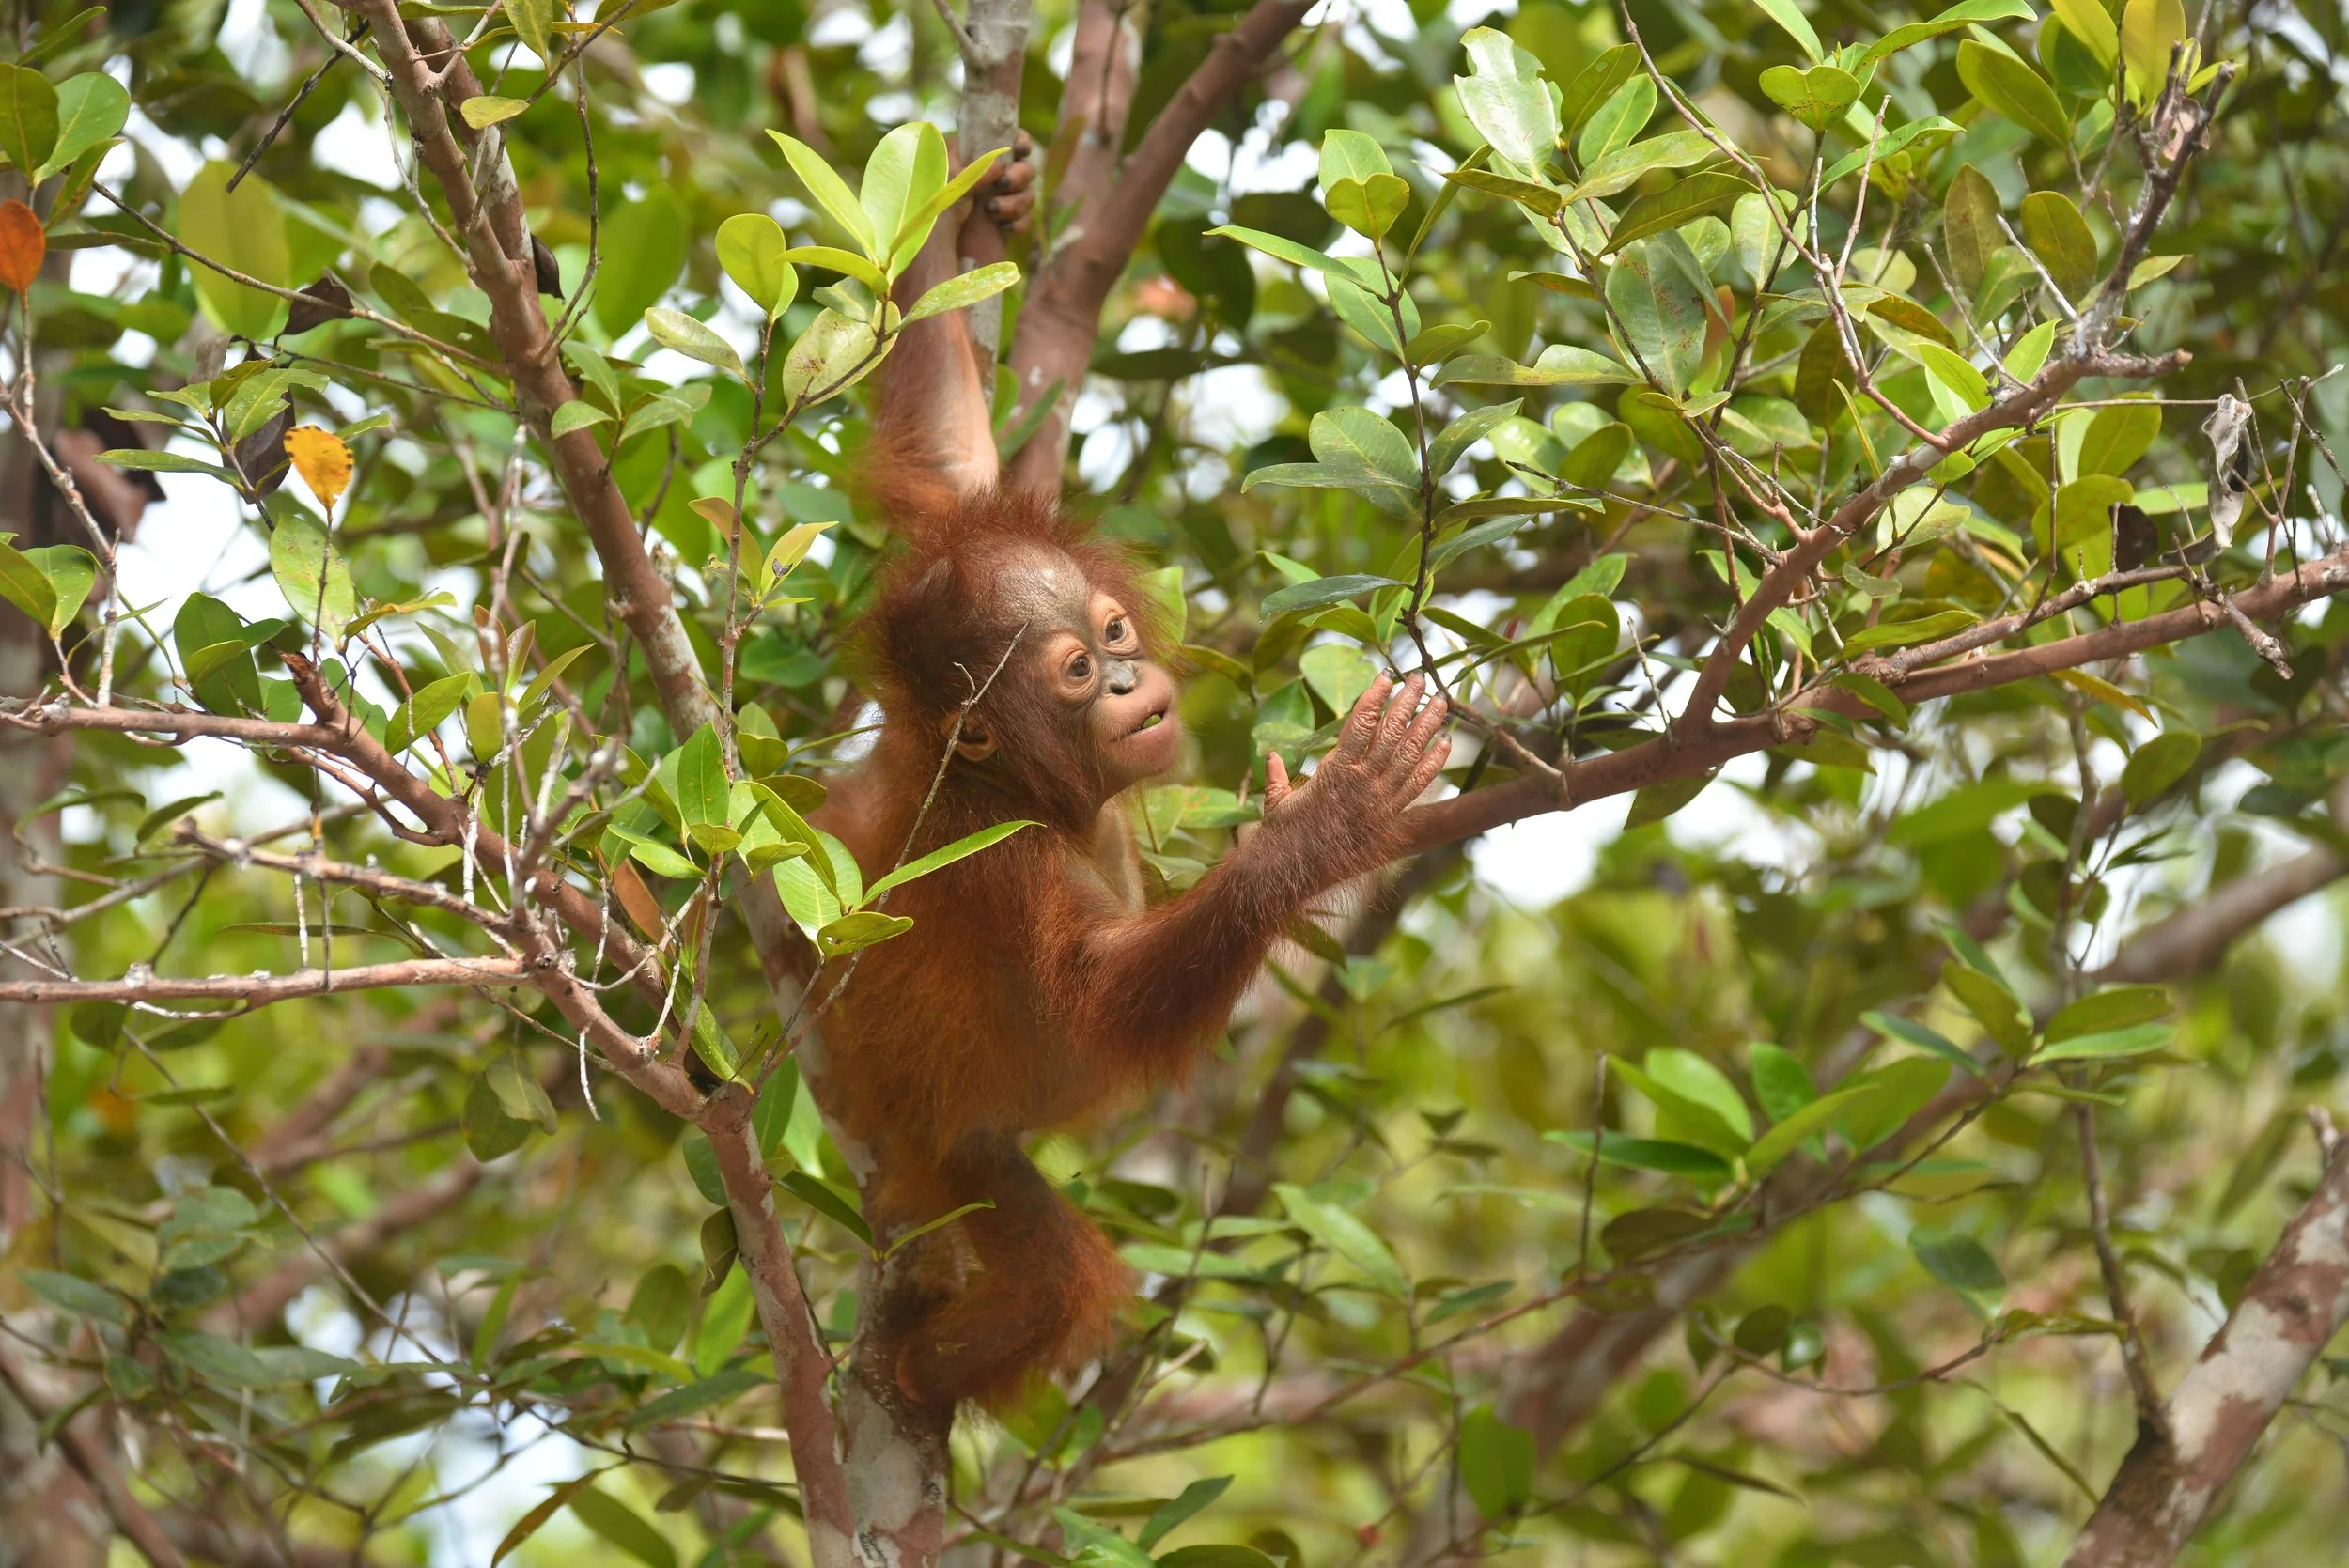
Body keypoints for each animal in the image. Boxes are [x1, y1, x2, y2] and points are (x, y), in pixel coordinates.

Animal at [801, 145, 1452, 1412]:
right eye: (1070, 671)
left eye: (1110, 630)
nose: (1123, 679)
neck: (1029, 791)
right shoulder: (1001, 866)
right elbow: (1095, 992)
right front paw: (1323, 826)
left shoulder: (926, 614)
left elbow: (950, 463)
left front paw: (965, 216)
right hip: (954, 1143)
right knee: (1050, 1272)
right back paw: (915, 1371)